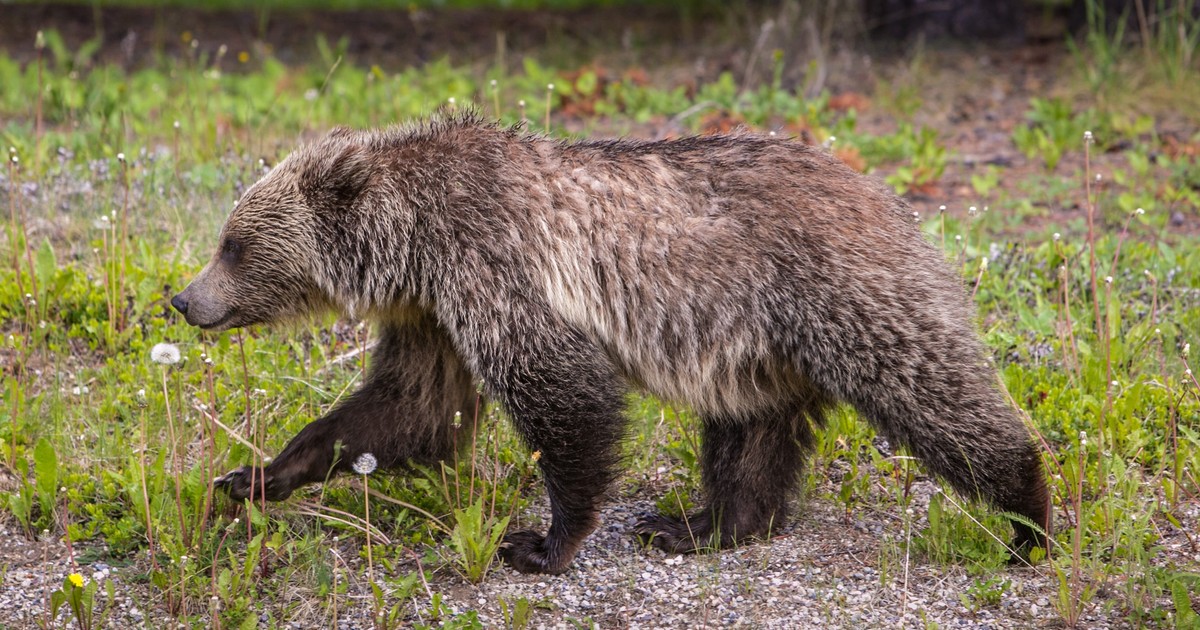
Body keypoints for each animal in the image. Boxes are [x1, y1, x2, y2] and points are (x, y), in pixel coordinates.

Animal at [171, 112, 1050, 575]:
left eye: (234, 244)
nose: (185, 300)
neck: (413, 240)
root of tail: (885, 192)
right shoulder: (434, 315)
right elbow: (406, 408)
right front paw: (253, 476)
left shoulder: (496, 269)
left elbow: (564, 399)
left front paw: (542, 540)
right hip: (758, 348)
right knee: (752, 430)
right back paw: (701, 524)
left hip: (840, 295)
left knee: (931, 392)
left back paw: (1027, 518)